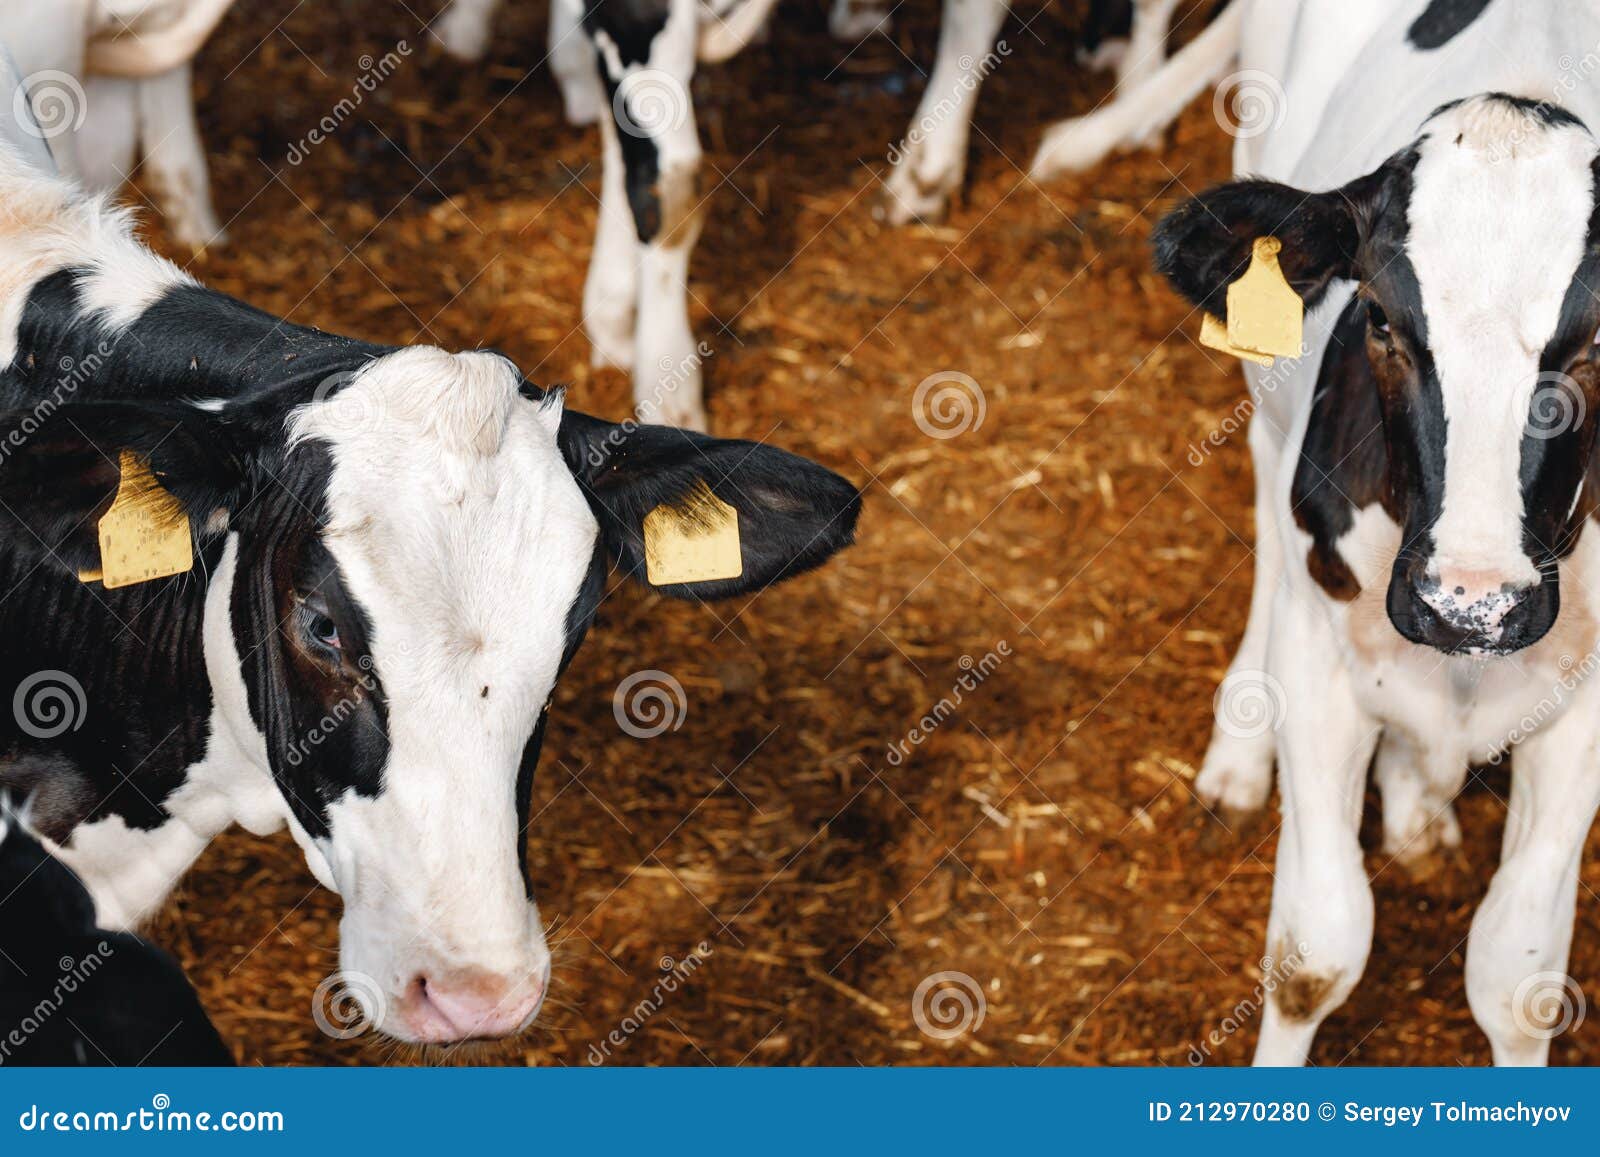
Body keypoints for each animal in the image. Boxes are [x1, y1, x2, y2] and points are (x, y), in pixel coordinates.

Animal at [1153, 0, 1600, 1065]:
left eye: (1597, 339)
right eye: (1385, 322)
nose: (1469, 603)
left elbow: (1519, 974)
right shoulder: (1323, 659)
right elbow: (1313, 951)